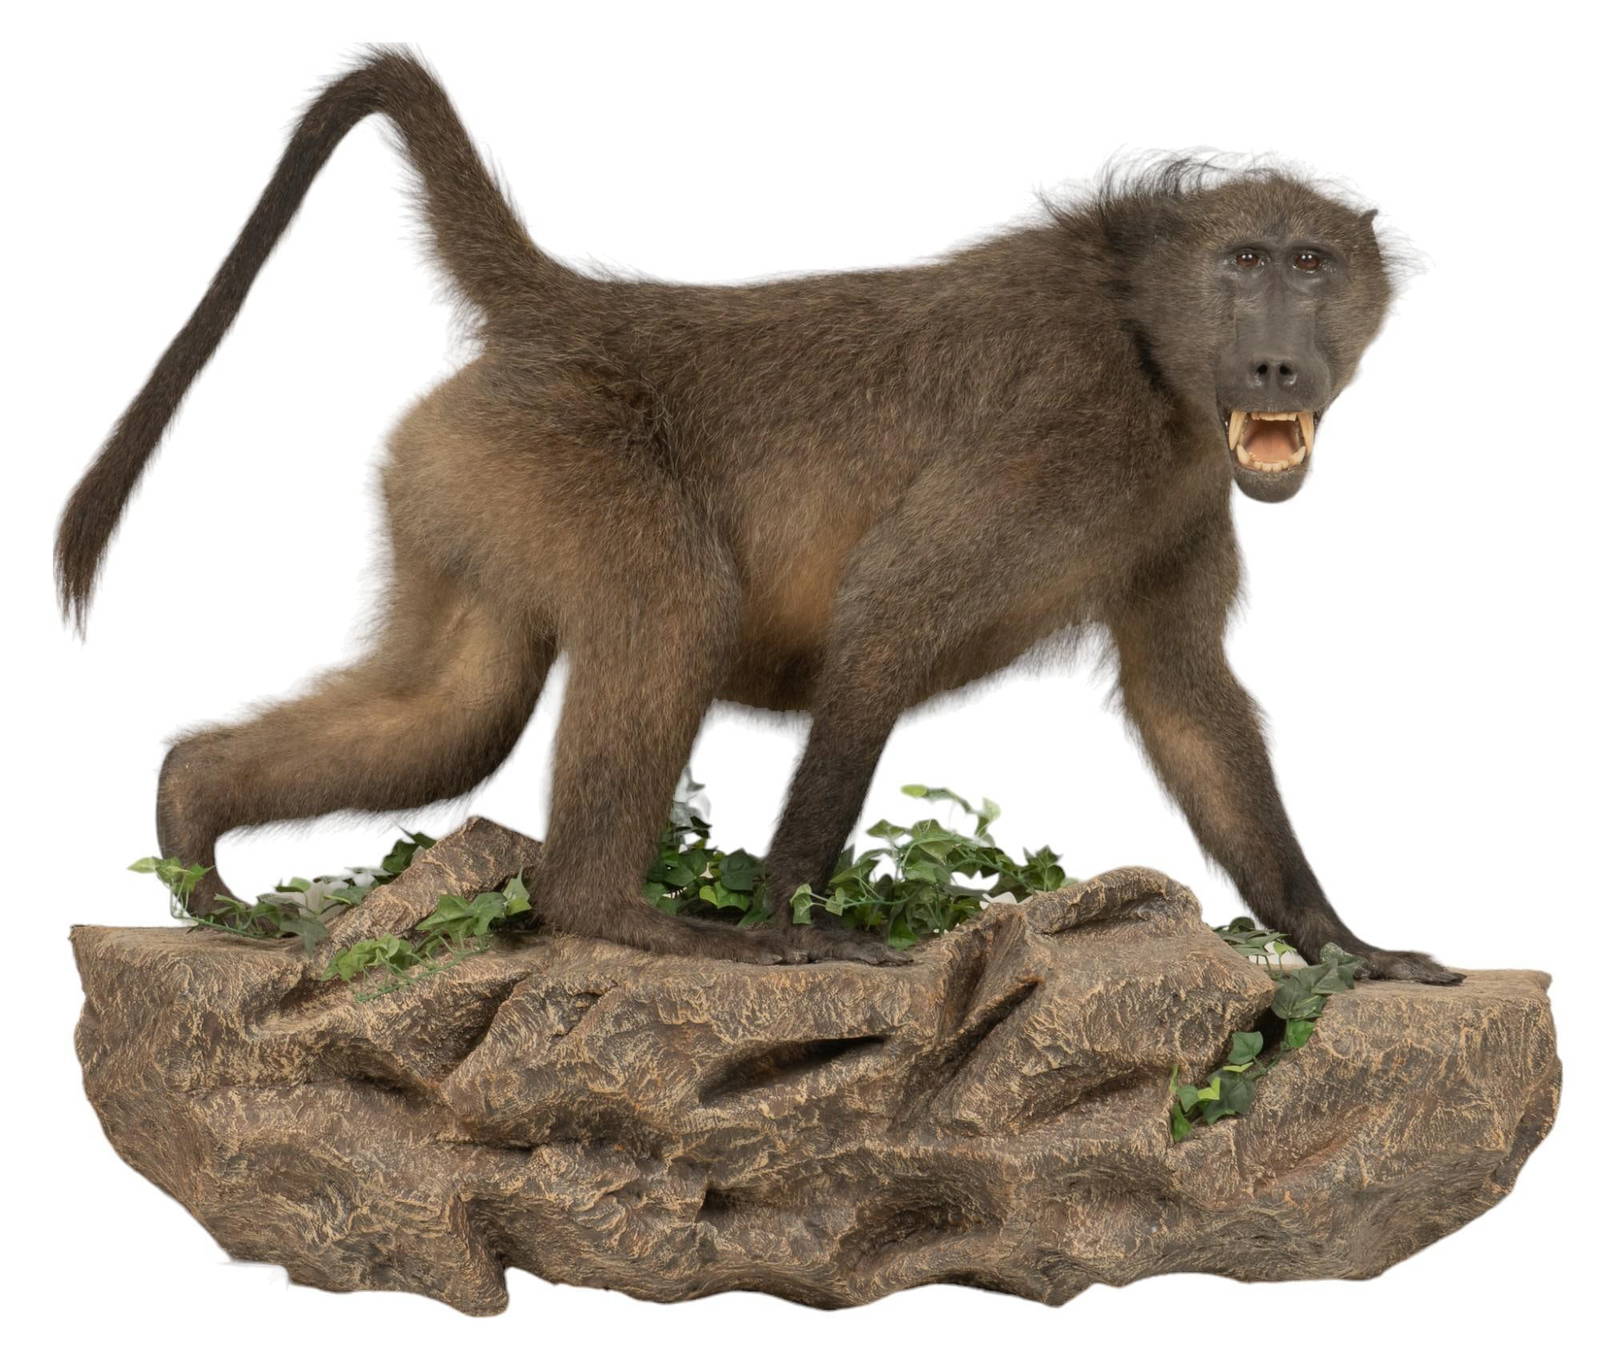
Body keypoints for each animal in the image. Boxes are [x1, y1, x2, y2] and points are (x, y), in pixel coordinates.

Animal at [54, 48, 1462, 983]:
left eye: (1312, 266)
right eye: (1242, 264)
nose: (1278, 365)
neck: (1144, 340)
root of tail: (584, 311)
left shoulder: (1175, 494)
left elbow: (1184, 701)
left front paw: (1339, 943)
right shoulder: (1058, 432)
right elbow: (887, 606)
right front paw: (793, 917)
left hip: (468, 470)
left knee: (455, 718)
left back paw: (189, 822)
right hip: (557, 449)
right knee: (671, 614)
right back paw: (616, 912)